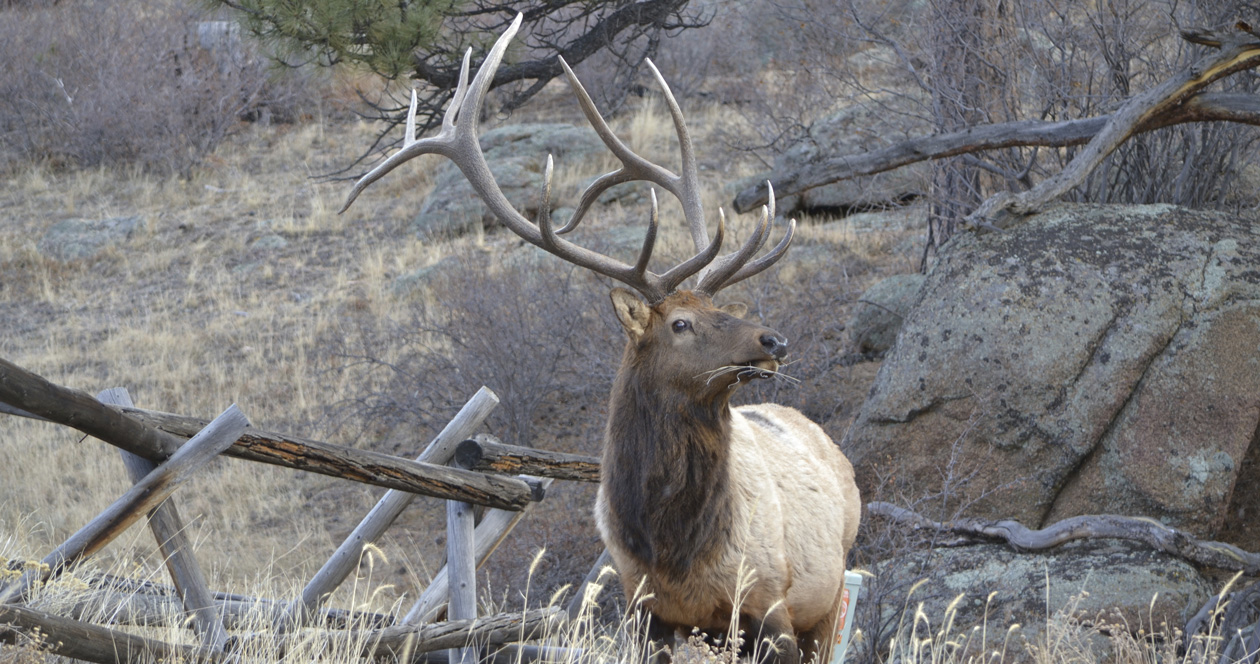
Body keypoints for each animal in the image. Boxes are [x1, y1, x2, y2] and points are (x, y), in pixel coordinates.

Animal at [339, 15, 861, 664]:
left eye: (719, 308)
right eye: (680, 323)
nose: (774, 339)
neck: (673, 547)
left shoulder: (769, 601)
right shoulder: (645, 611)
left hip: (829, 595)